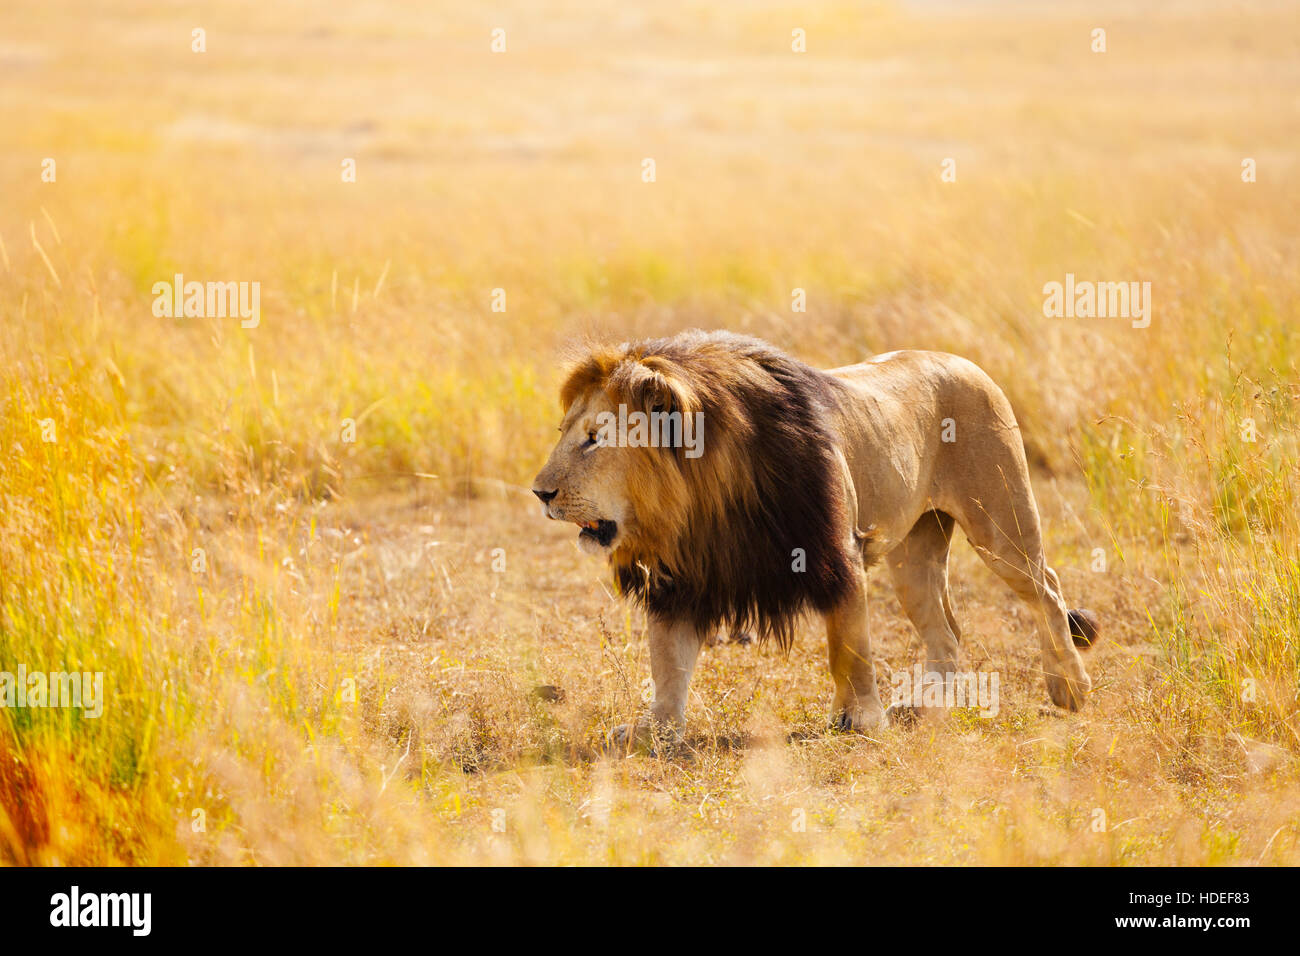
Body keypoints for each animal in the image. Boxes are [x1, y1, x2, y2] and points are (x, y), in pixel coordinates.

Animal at [531, 329, 1100, 746]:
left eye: (594, 439)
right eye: (563, 433)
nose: (540, 492)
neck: (702, 498)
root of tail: (966, 362)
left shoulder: (836, 555)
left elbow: (848, 648)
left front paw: (862, 719)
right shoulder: (683, 581)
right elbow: (668, 663)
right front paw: (656, 729)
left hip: (1000, 524)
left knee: (1047, 590)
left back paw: (1069, 688)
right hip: (915, 556)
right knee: (948, 632)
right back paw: (928, 704)